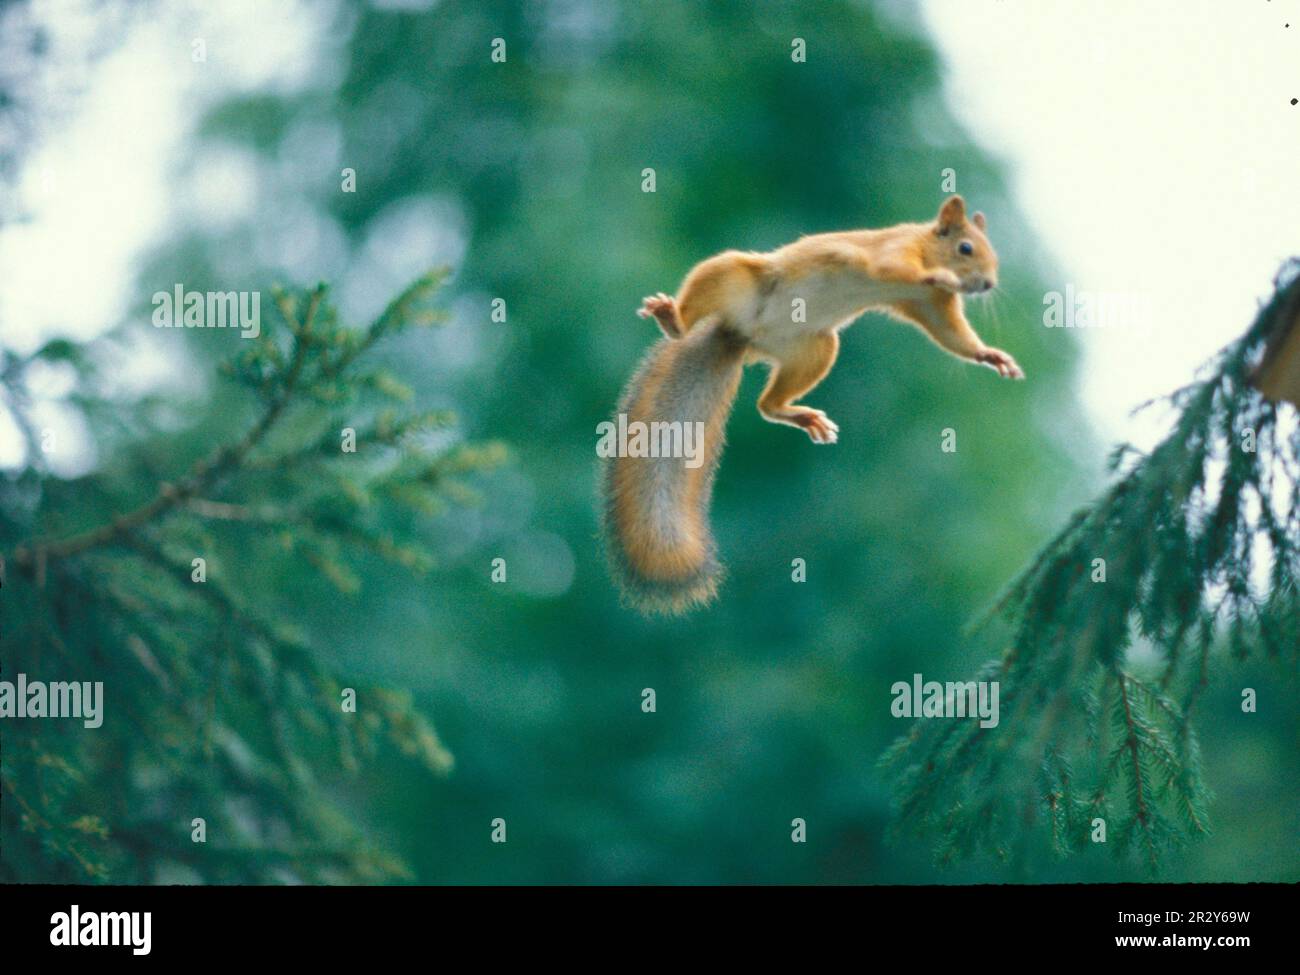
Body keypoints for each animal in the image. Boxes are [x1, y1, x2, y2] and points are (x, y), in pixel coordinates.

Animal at [600, 195, 1022, 615]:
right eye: (965, 248)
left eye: (994, 255)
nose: (988, 283)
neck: (926, 250)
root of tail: (742, 336)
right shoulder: (895, 252)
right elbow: (892, 267)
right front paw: (946, 277)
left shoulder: (931, 305)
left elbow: (953, 335)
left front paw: (990, 355)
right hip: (734, 275)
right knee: (701, 305)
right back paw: (672, 318)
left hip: (816, 349)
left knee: (766, 404)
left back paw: (797, 414)